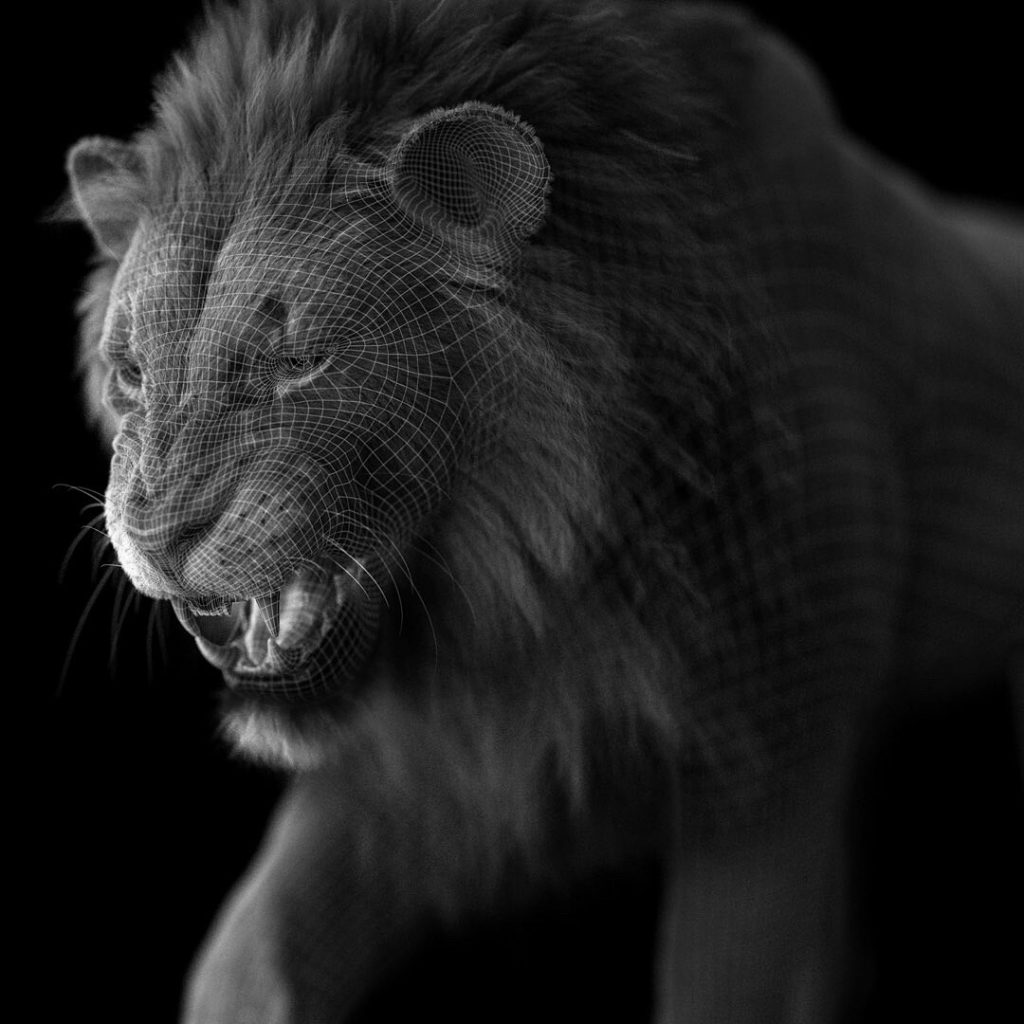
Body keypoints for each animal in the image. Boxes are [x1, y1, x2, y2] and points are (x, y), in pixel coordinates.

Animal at [65, 1, 1024, 1021]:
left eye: (299, 361)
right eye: (132, 372)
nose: (158, 534)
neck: (539, 587)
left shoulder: (771, 755)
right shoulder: (422, 762)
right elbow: (252, 961)